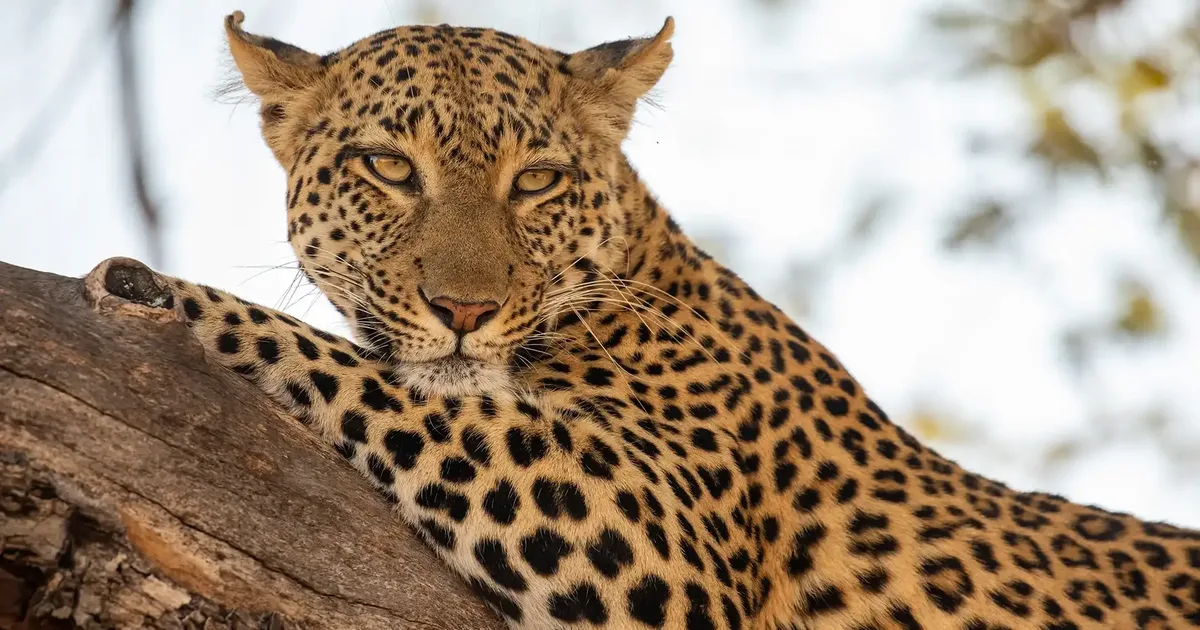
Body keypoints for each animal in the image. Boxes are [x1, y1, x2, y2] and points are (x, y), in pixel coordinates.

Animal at [88, 10, 1200, 630]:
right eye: (389, 168)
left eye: (537, 180)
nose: (465, 309)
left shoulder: (663, 531)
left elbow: (387, 384)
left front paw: (145, 287)